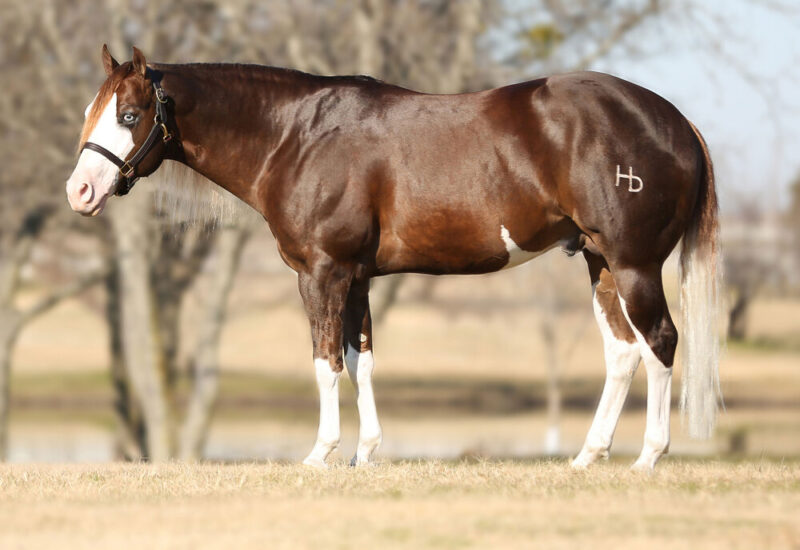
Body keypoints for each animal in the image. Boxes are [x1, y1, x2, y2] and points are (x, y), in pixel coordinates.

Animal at [66, 46, 722, 470]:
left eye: (130, 115)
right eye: (90, 114)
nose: (80, 192)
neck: (296, 135)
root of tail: (675, 120)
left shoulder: (322, 273)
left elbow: (326, 362)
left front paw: (321, 455)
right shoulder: (357, 277)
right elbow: (362, 361)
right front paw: (365, 454)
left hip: (634, 263)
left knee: (660, 342)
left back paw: (648, 458)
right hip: (598, 262)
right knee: (623, 352)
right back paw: (588, 456)